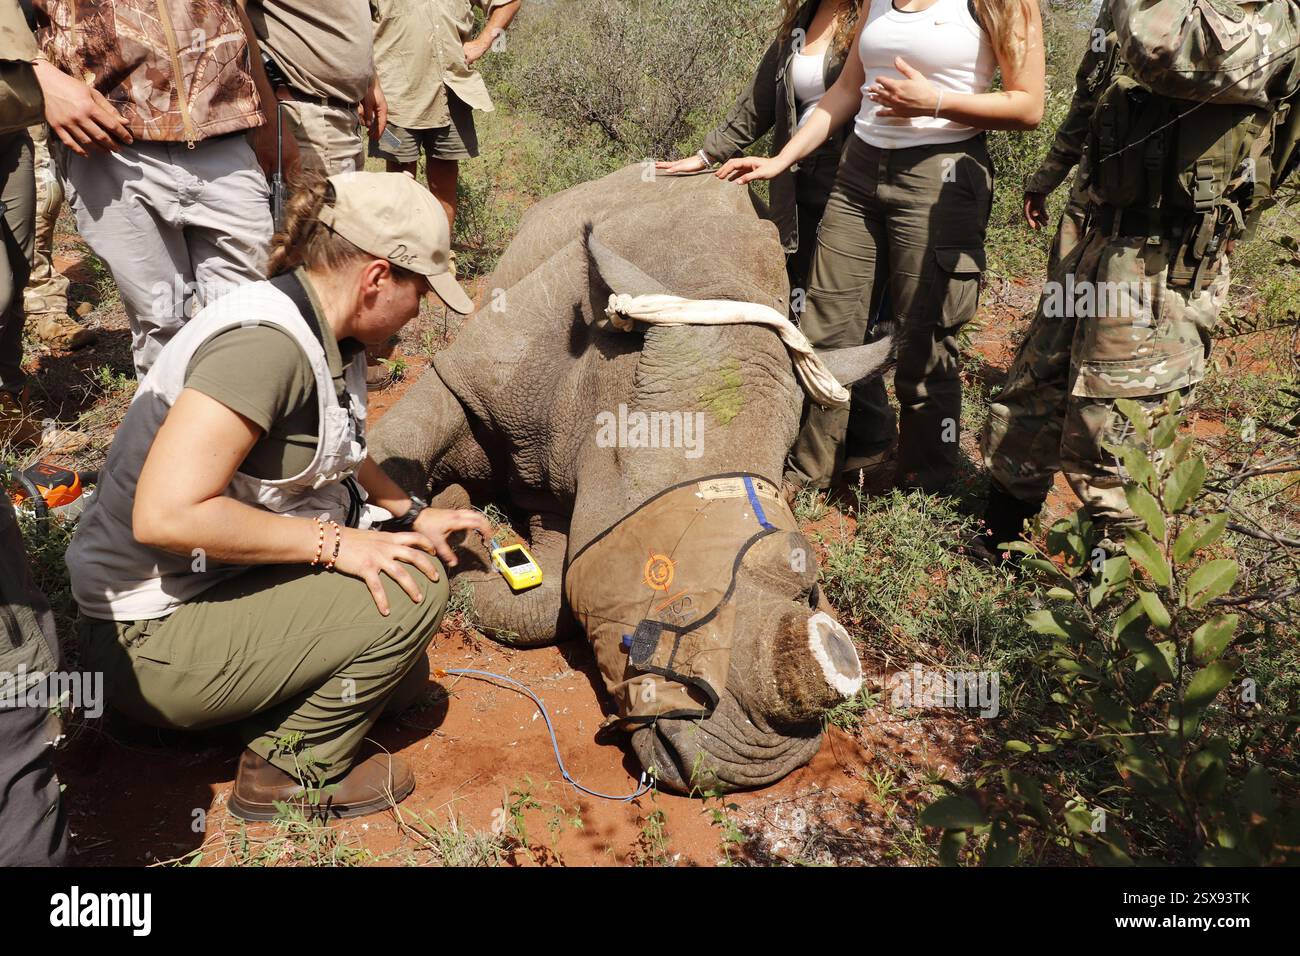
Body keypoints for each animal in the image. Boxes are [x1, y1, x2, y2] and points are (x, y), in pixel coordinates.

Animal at [371, 164, 891, 793]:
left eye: (810, 591)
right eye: (668, 596)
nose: (761, 764)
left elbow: (553, 591)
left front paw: (485, 539)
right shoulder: (468, 373)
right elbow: (393, 446)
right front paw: (447, 532)